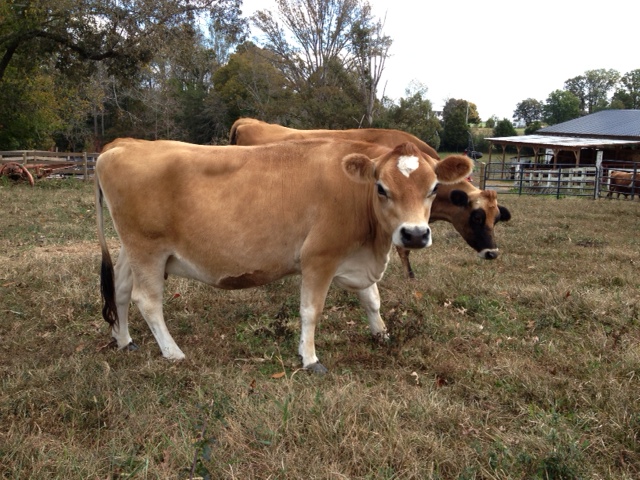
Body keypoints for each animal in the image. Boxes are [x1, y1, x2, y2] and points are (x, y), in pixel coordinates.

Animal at [96, 138, 473, 373]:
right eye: (382, 188)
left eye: (434, 187)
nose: (414, 234)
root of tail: (124, 143)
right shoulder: (319, 258)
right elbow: (310, 311)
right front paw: (309, 358)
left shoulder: (356, 257)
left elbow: (372, 301)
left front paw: (382, 335)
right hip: (148, 248)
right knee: (147, 300)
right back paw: (173, 353)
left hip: (133, 250)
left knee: (122, 291)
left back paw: (124, 340)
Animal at [229, 118, 511, 278]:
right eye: (476, 217)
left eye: (496, 218)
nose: (493, 252)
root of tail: (249, 121)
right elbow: (403, 249)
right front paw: (409, 277)